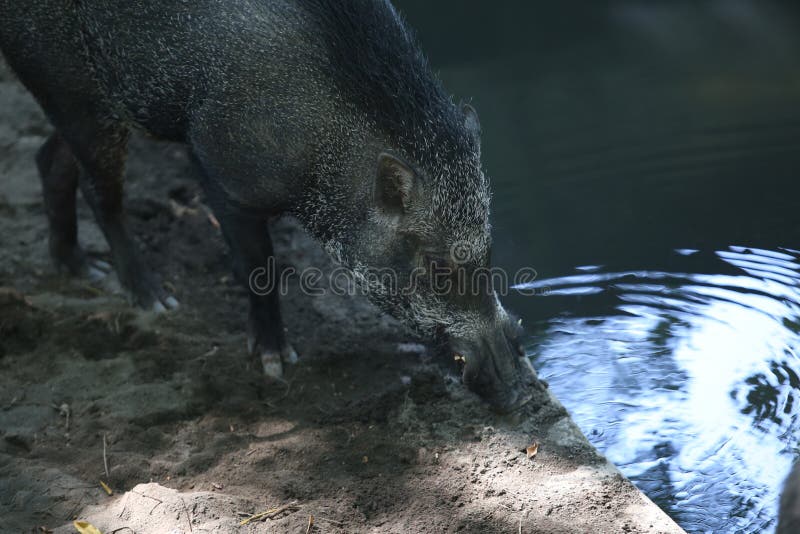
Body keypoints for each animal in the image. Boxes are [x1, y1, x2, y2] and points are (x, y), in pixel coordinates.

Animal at [0, 0, 536, 412]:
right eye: (436, 265)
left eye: (488, 252)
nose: (517, 391)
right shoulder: (217, 168)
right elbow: (258, 266)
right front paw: (275, 363)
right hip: (73, 88)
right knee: (100, 192)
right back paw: (153, 299)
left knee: (50, 160)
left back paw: (78, 267)